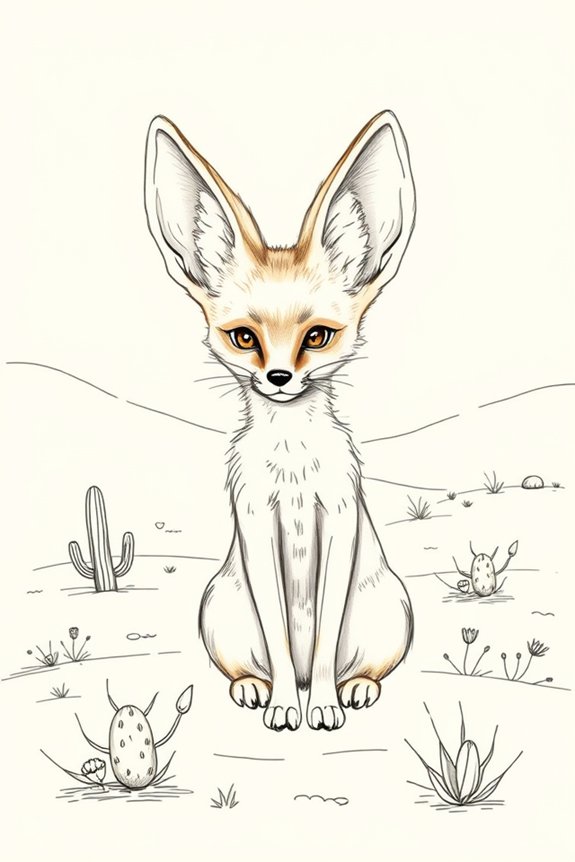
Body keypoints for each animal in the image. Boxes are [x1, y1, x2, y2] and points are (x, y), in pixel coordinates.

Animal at [144, 110, 416, 731]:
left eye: (317, 336)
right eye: (245, 338)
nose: (278, 377)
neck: (292, 466)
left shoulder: (339, 520)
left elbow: (323, 639)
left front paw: (323, 707)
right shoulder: (254, 524)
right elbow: (279, 634)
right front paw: (286, 708)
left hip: (389, 606)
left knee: (356, 665)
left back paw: (353, 688)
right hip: (220, 603)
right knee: (255, 664)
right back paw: (258, 688)